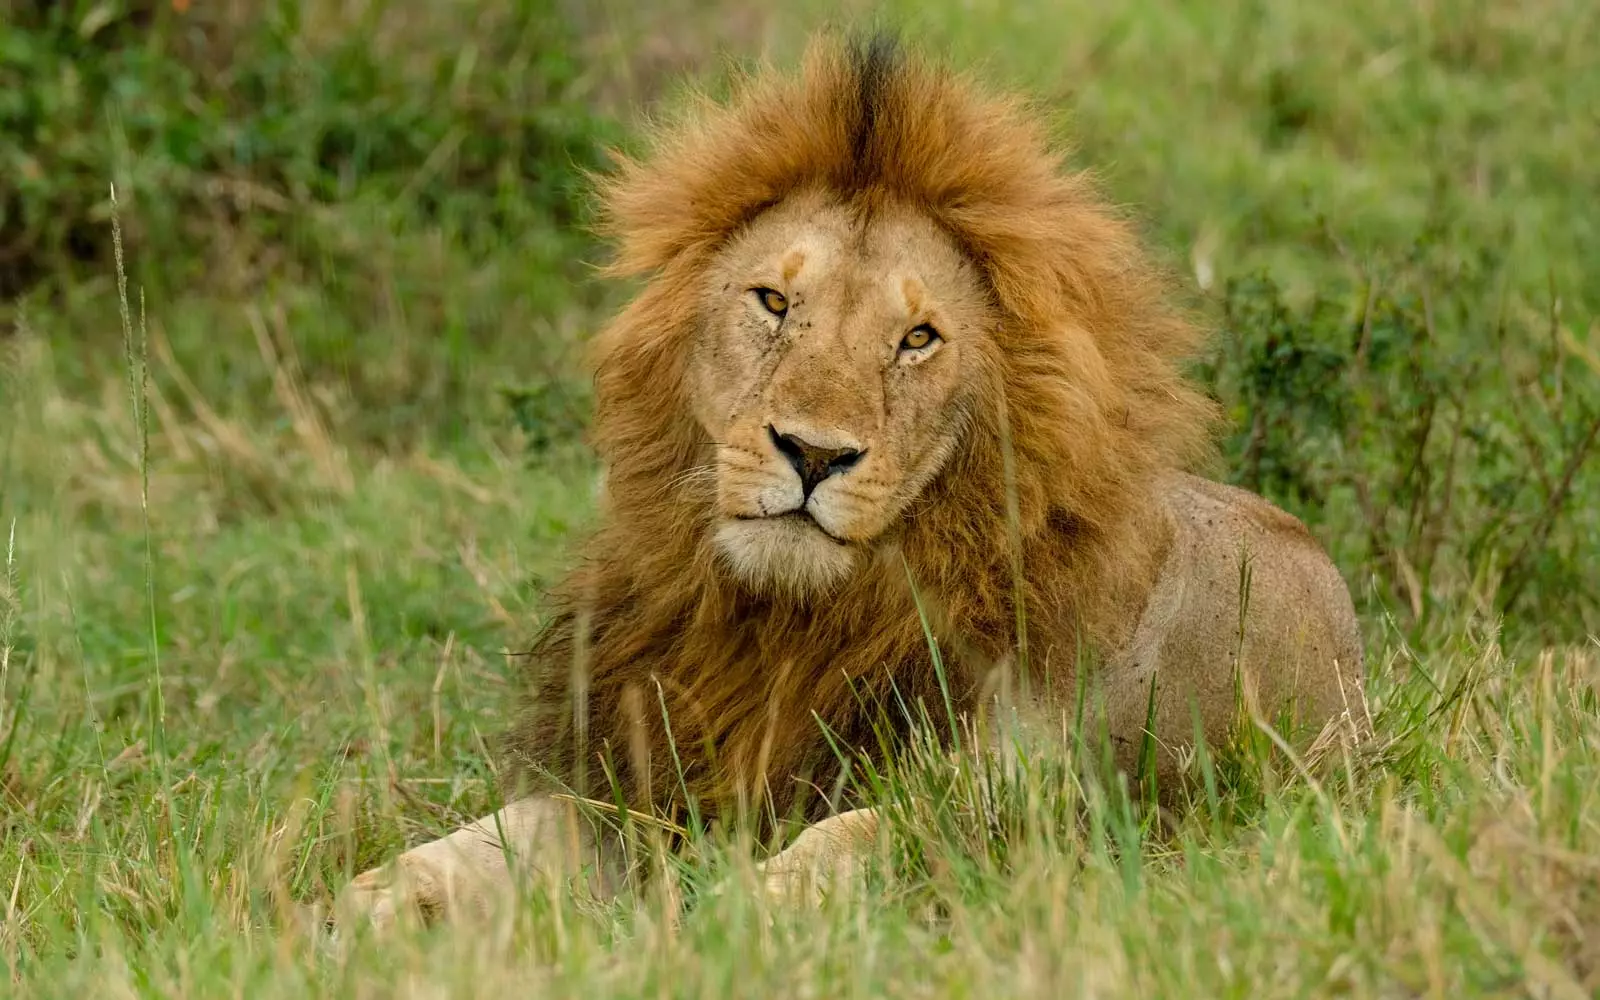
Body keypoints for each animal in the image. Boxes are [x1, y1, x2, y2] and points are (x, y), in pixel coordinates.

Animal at [334, 35, 1363, 934]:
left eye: (918, 338)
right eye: (773, 301)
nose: (813, 454)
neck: (792, 624)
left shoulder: (1032, 795)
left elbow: (865, 838)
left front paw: (729, 915)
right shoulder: (639, 778)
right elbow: (487, 842)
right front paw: (357, 913)